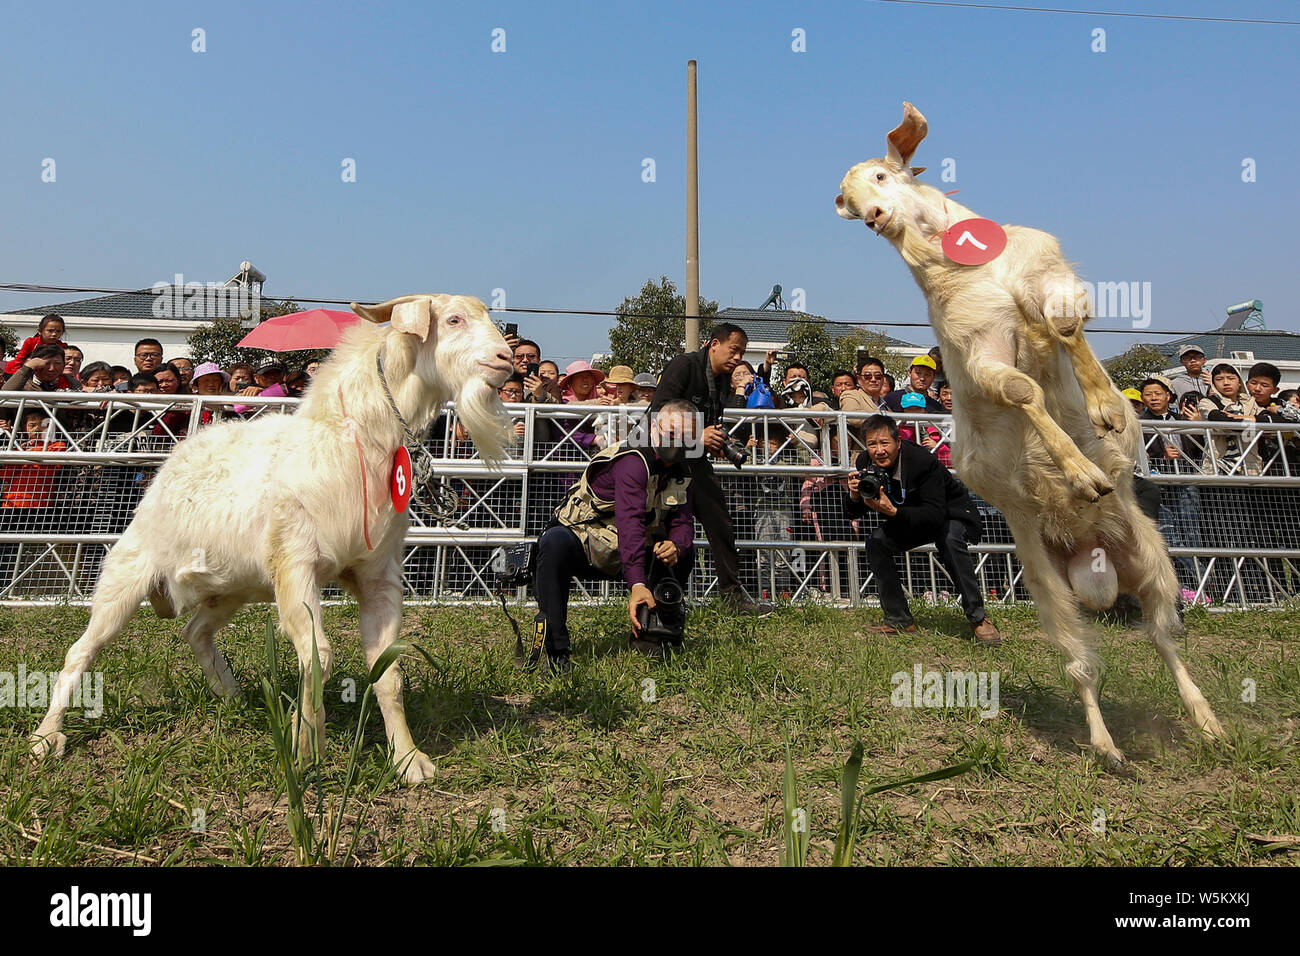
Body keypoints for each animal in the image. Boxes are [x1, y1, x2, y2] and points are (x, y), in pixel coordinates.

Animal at [30, 294, 515, 784]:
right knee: (82, 650)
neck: (350, 440)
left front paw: (409, 760)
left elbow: (388, 672)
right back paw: (45, 738)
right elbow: (319, 656)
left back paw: (232, 695)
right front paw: (304, 752)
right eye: (453, 319)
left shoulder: (378, 575)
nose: (505, 360)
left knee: (195, 631)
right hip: (128, 573)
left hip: (230, 588)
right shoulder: (295, 564)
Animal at [835, 103, 1225, 768]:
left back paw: (1207, 721)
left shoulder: (1047, 276)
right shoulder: (978, 353)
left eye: (882, 177)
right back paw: (1107, 746)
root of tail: (1095, 556)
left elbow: (1065, 328)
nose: (873, 216)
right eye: (855, 199)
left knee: (1164, 638)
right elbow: (1023, 392)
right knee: (1082, 665)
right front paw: (1081, 473)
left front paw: (1106, 410)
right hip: (1046, 583)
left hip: (1152, 560)